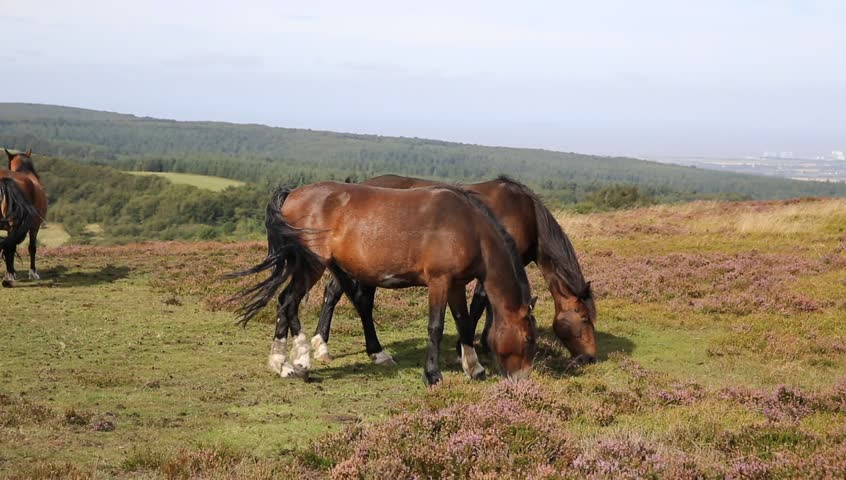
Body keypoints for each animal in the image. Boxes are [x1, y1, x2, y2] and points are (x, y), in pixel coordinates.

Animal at [229, 182, 538, 385]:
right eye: (526, 339)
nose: (522, 380)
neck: (468, 227)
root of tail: (291, 194)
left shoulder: (456, 283)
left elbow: (463, 323)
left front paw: (474, 368)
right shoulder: (439, 281)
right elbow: (436, 327)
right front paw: (432, 375)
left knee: (283, 302)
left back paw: (281, 364)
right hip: (311, 264)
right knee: (290, 303)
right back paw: (303, 360)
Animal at [311, 174, 596, 366]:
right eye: (584, 318)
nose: (591, 358)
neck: (523, 213)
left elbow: (489, 306)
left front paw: (484, 342)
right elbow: (480, 304)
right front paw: (465, 348)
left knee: (342, 295)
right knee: (340, 295)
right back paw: (326, 345)